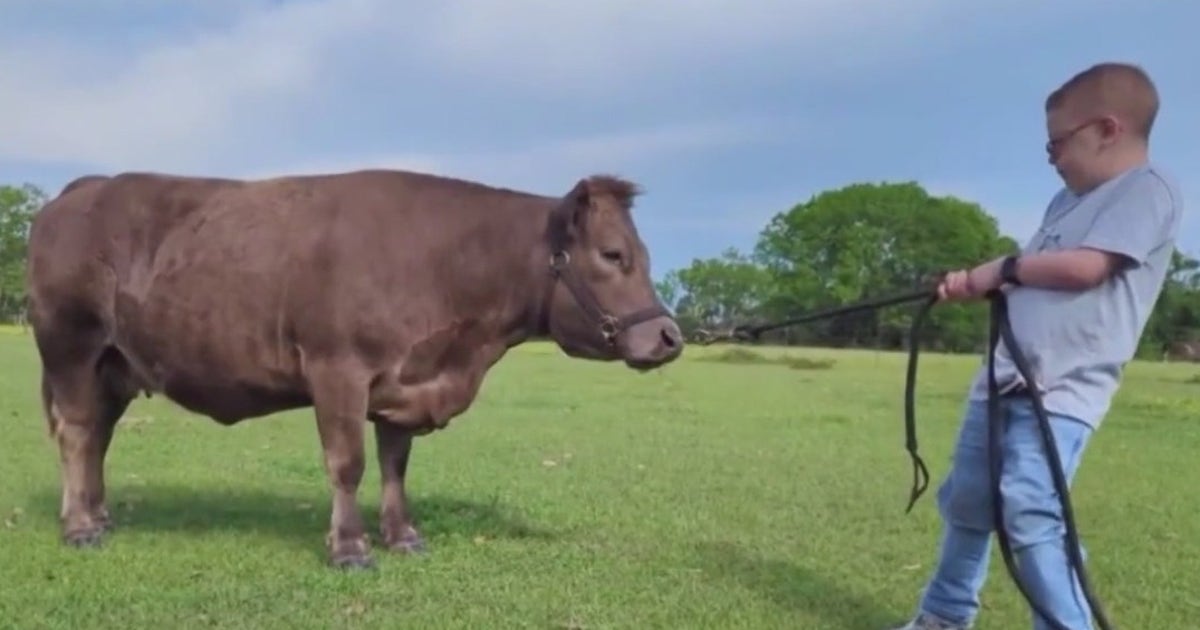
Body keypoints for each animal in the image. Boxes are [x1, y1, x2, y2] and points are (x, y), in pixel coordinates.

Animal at [24, 168, 683, 569]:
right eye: (613, 255)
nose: (670, 337)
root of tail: (83, 188)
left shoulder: (405, 383)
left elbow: (394, 466)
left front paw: (403, 536)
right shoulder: (337, 370)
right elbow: (348, 464)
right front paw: (349, 547)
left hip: (115, 366)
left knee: (97, 437)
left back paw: (100, 515)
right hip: (72, 347)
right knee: (76, 433)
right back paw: (78, 526)